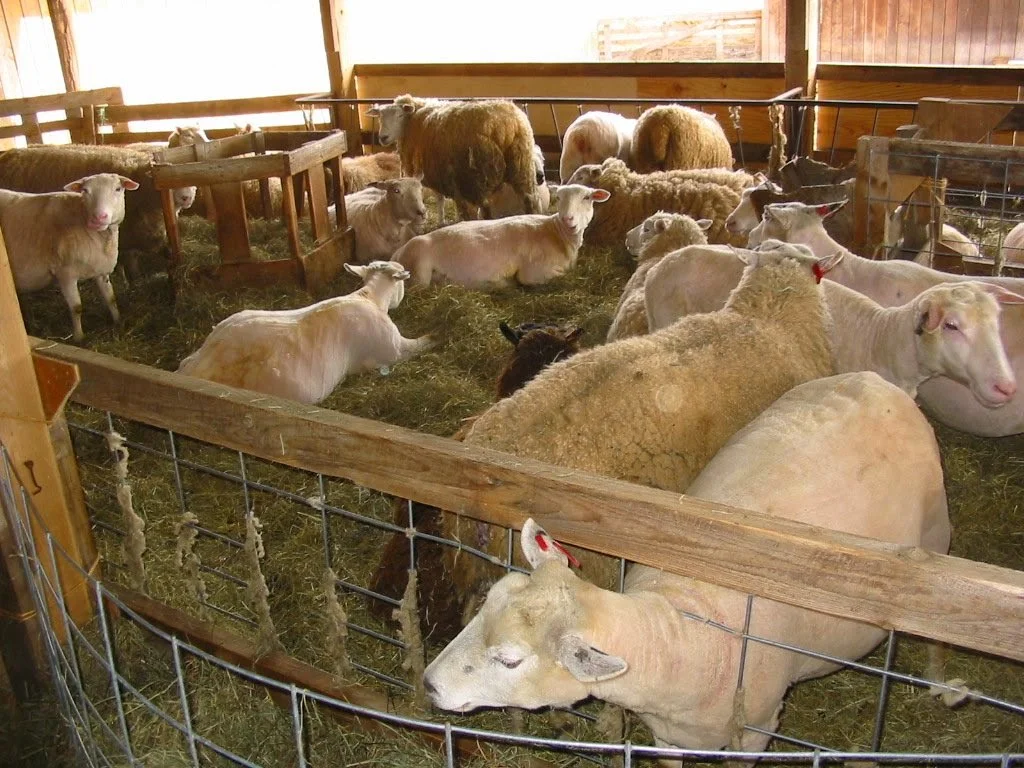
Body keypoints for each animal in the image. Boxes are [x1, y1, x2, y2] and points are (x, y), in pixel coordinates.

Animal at [0, 173, 139, 341]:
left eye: (118, 189)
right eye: (85, 191)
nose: (99, 217)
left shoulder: (101, 270)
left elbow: (111, 298)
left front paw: (118, 321)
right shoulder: (66, 274)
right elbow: (76, 308)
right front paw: (79, 337)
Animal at [367, 94, 541, 221]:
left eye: (399, 115)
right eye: (380, 117)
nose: (383, 137)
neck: (413, 119)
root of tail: (504, 126)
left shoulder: (434, 173)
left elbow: (439, 199)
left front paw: (441, 222)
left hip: (475, 177)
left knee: (483, 209)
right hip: (522, 167)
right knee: (530, 200)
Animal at [392, 184, 610, 288]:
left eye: (587, 197)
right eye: (559, 197)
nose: (567, 218)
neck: (556, 233)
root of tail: (397, 253)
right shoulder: (533, 274)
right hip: (419, 274)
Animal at [424, 369, 950, 755]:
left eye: (510, 660)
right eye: (484, 607)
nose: (429, 683)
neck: (676, 634)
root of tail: (879, 380)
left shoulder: (754, 731)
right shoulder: (666, 735)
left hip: (935, 538)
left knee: (936, 631)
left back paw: (942, 683)